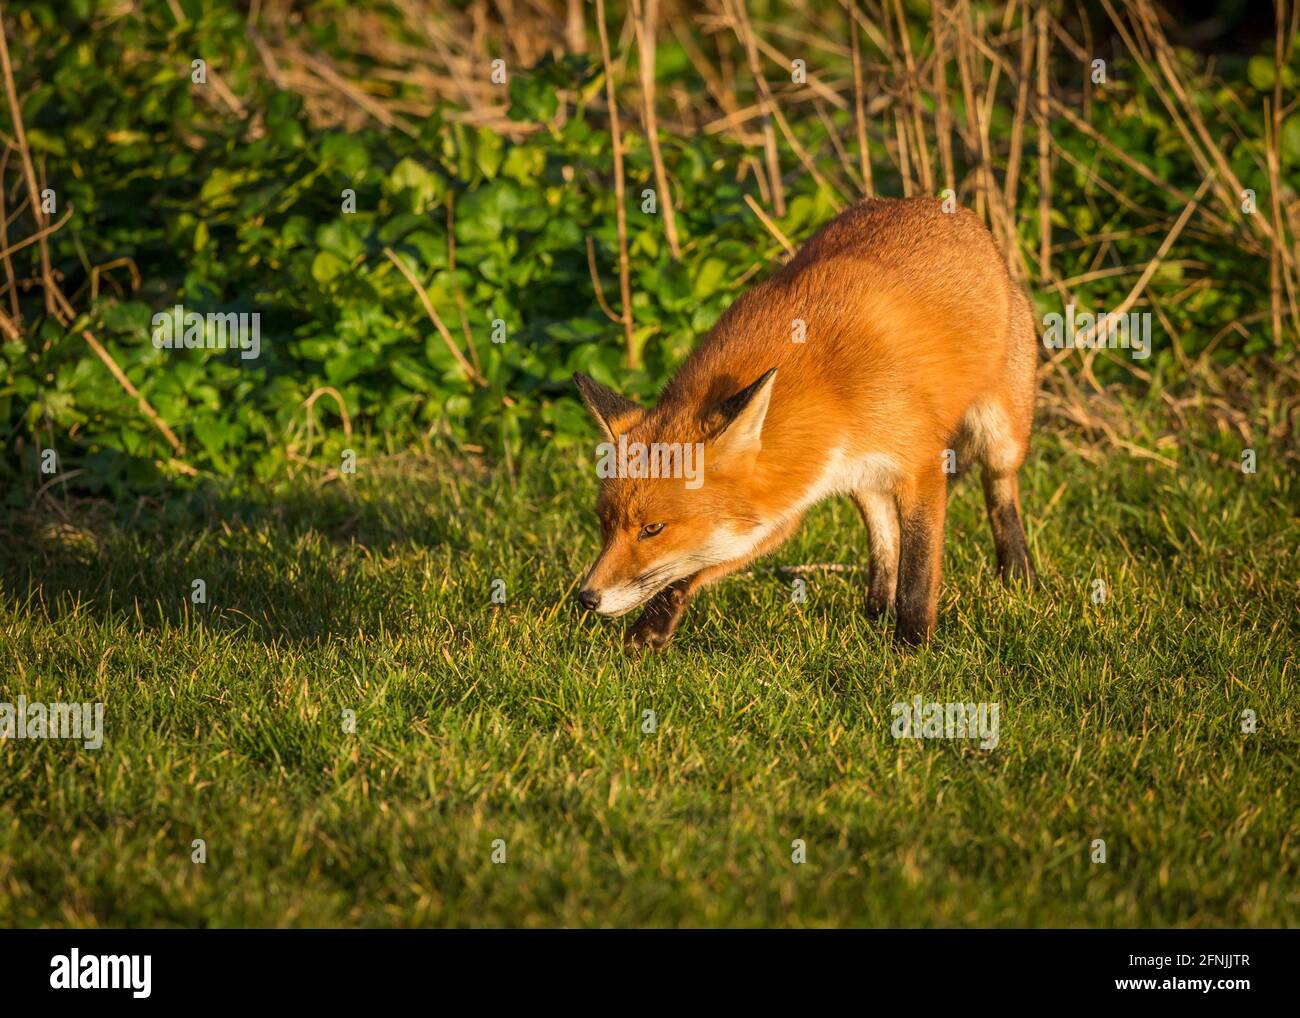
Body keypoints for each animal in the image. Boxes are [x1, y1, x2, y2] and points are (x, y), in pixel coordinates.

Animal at [573, 196, 1038, 652]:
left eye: (652, 529)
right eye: (604, 523)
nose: (586, 598)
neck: (831, 393)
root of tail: (960, 215)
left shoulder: (921, 466)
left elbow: (918, 570)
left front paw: (912, 643)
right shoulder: (779, 502)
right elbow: (696, 568)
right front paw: (652, 630)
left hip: (1000, 435)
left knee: (1000, 492)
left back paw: (1018, 576)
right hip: (863, 481)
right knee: (884, 539)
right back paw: (875, 612)